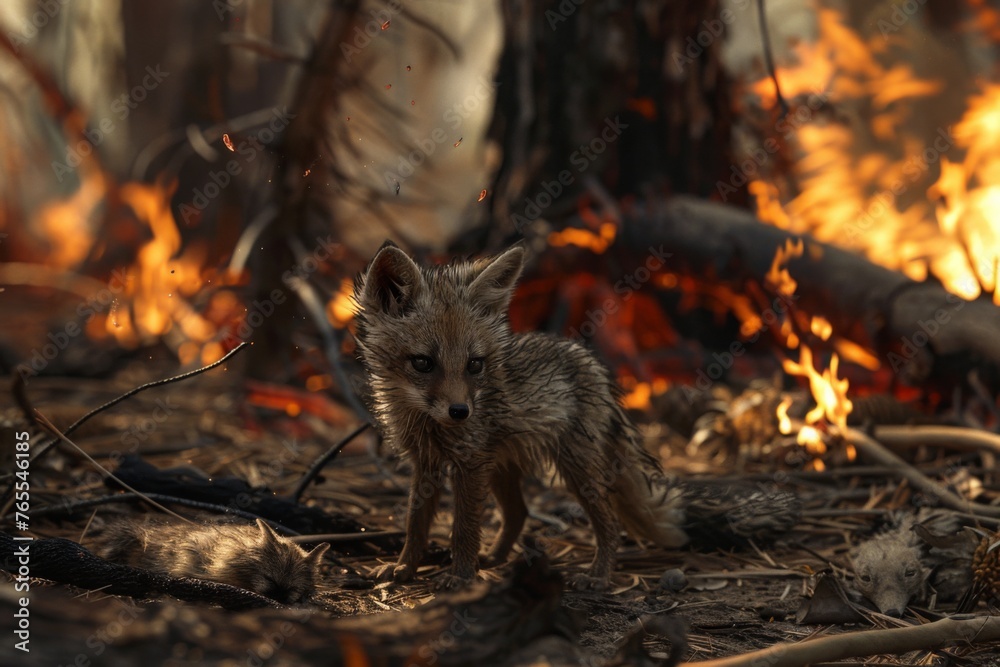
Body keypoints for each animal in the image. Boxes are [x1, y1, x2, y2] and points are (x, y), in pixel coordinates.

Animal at [353, 241, 688, 590]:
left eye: (474, 364)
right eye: (422, 363)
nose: (460, 412)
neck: (425, 421)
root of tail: (592, 364)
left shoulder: (469, 464)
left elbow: (463, 529)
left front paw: (461, 576)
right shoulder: (425, 463)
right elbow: (415, 524)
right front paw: (404, 568)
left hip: (576, 471)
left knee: (609, 524)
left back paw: (598, 575)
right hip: (502, 468)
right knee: (519, 513)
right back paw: (494, 558)